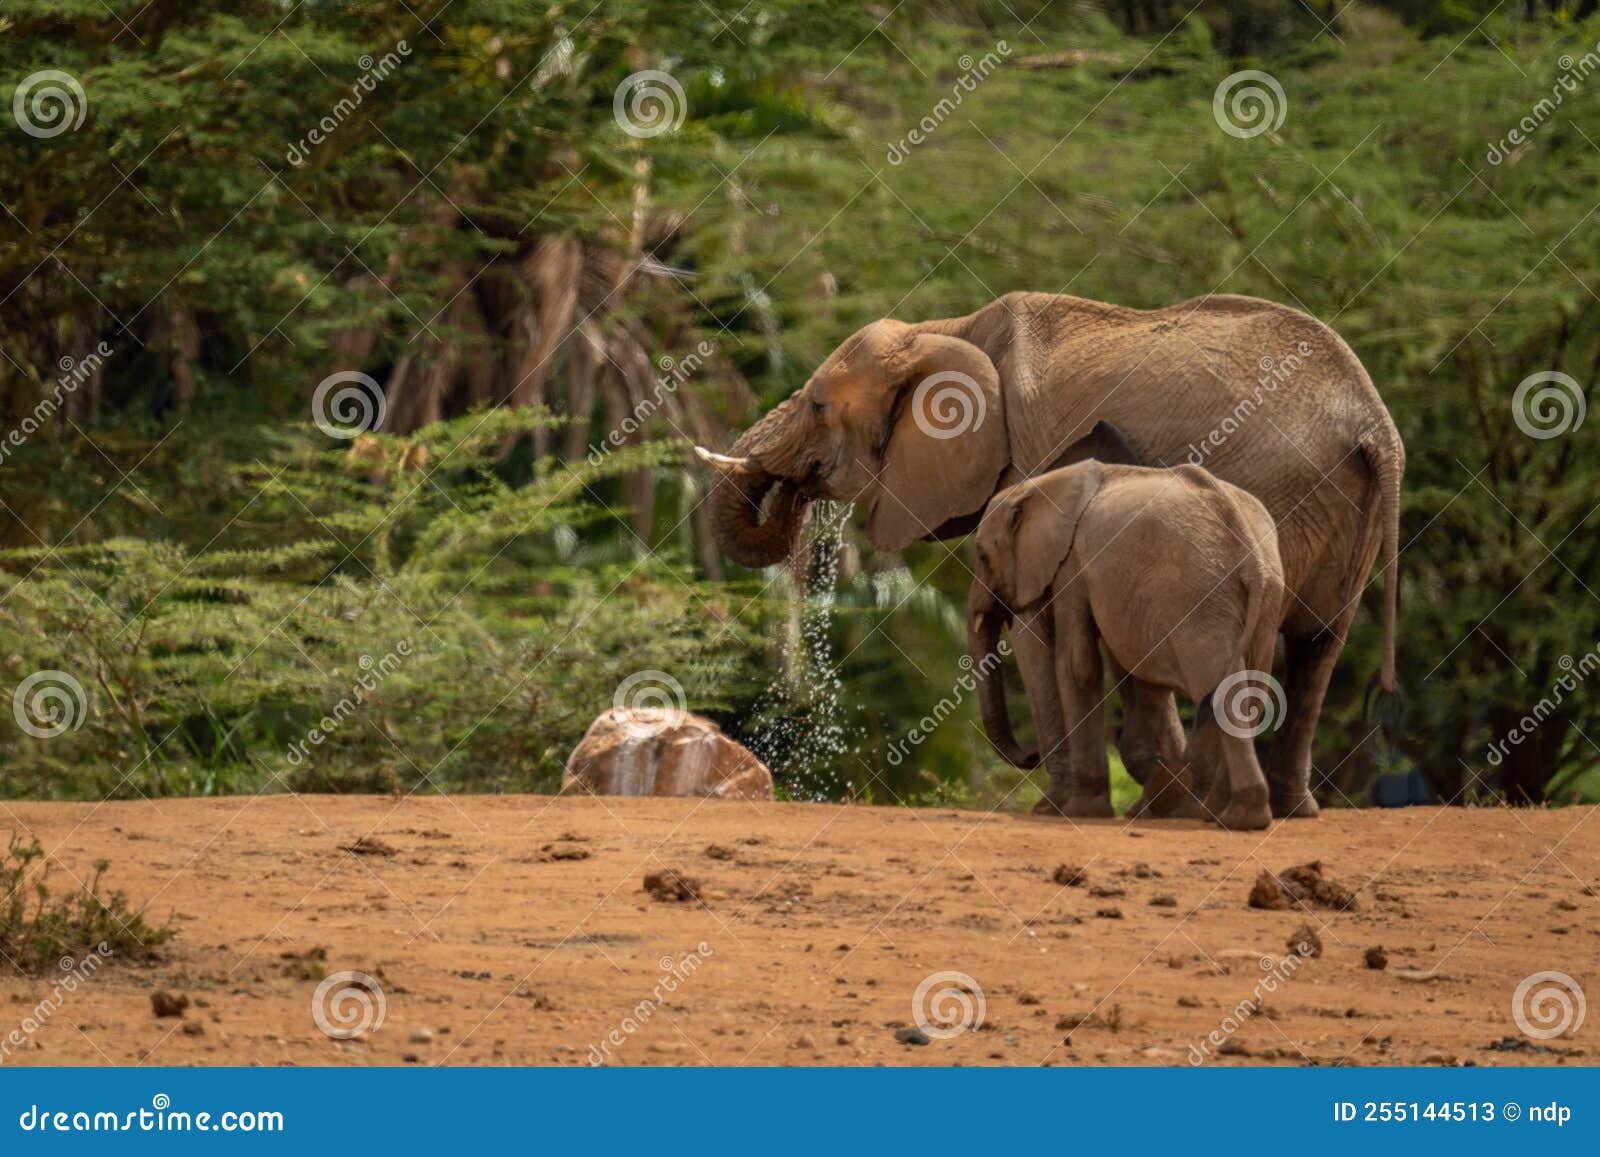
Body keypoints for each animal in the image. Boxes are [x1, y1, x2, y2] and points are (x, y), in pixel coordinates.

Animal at [967, 460, 1285, 830]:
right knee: (1249, 695)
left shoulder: (1073, 565)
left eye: (982, 556)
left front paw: (1083, 812)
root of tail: (1252, 556)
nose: (1032, 756)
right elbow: (1139, 675)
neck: (1045, 485)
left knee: (1224, 694)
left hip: (1203, 606)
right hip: (1261, 605)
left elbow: (1078, 664)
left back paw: (1235, 818)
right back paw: (1210, 813)